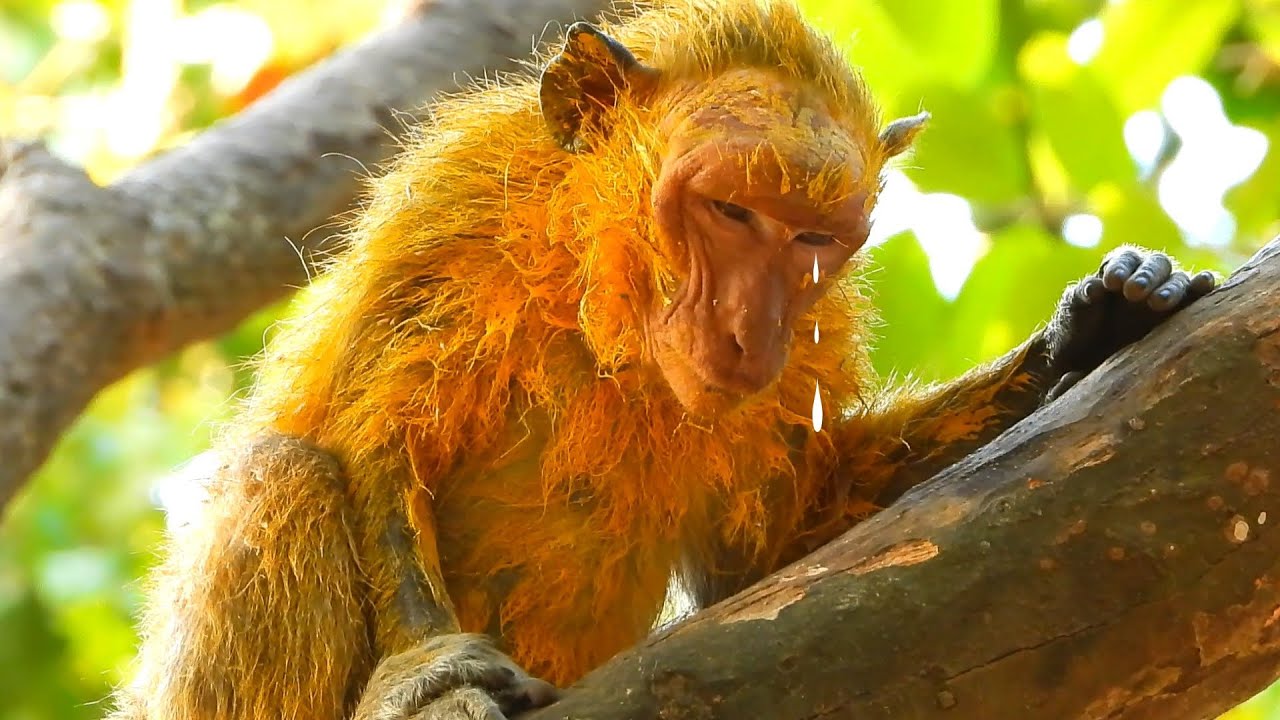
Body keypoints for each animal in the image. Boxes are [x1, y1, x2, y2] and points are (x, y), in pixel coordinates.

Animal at [107, 2, 1217, 719]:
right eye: (726, 212)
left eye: (812, 240)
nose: (750, 330)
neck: (595, 302)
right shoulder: (454, 204)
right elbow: (374, 444)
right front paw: (424, 681)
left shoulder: (815, 331)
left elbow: (765, 557)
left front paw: (1091, 326)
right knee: (284, 473)